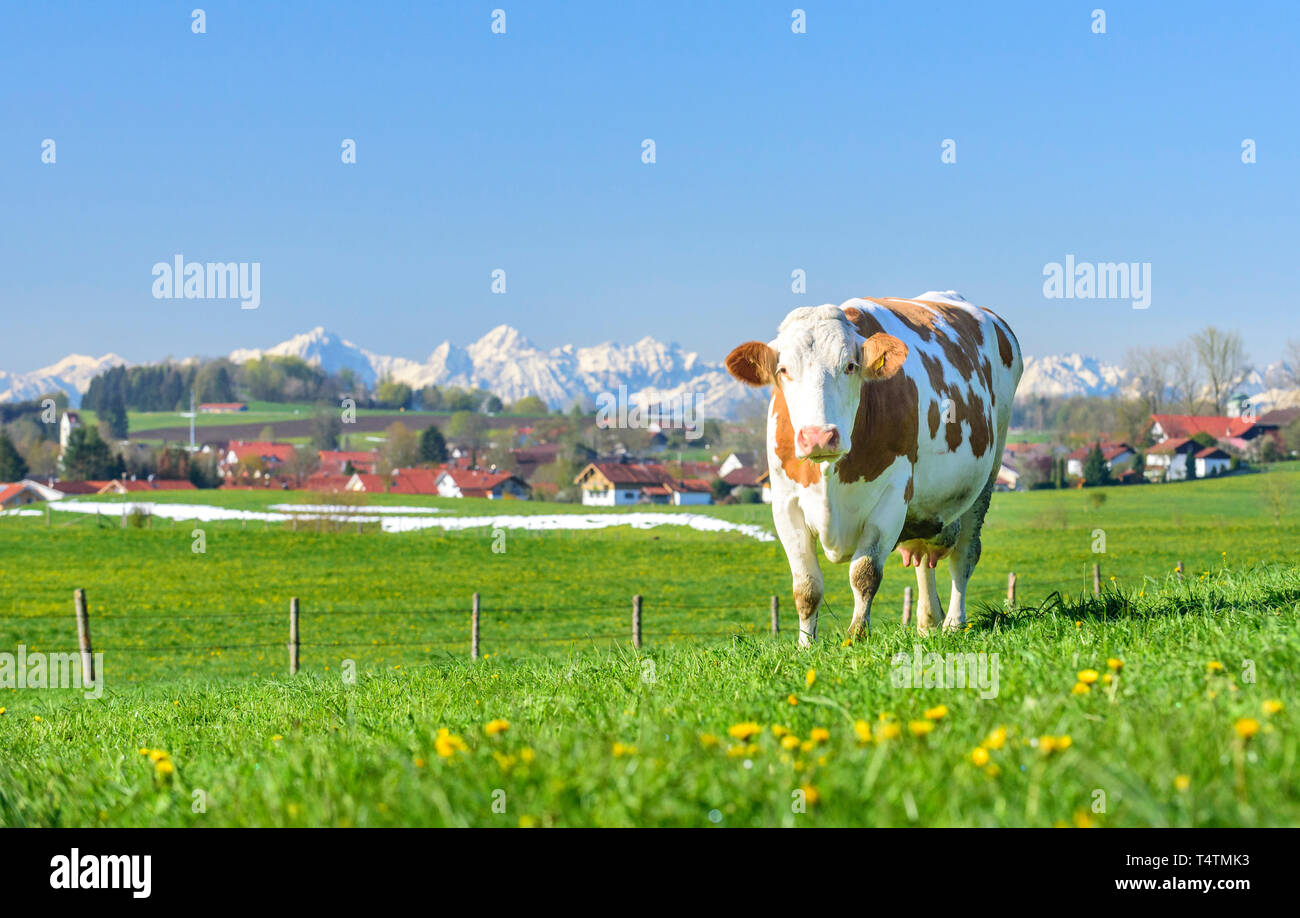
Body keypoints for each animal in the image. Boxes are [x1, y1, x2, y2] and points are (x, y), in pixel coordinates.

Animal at [725, 291, 1022, 645]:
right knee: (924, 561)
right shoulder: (785, 503)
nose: (819, 436)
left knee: (964, 556)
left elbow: (864, 573)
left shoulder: (892, 495)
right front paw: (805, 645)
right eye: (783, 369)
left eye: (850, 366)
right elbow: (807, 586)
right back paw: (927, 623)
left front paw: (856, 636)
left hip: (988, 475)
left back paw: (953, 623)